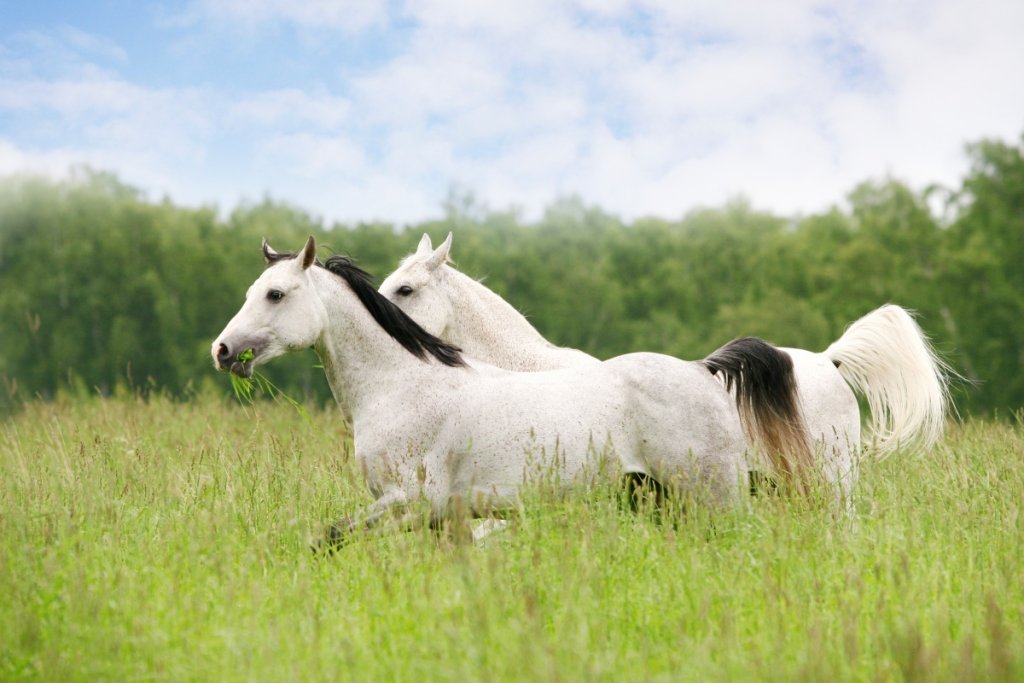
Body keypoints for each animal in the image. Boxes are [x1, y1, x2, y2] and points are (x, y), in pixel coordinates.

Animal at [212, 236, 811, 544]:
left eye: (275, 294)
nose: (222, 350)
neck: (402, 385)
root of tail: (701, 369)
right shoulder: (443, 519)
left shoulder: (408, 501)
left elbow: (328, 538)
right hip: (662, 501)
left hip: (715, 497)